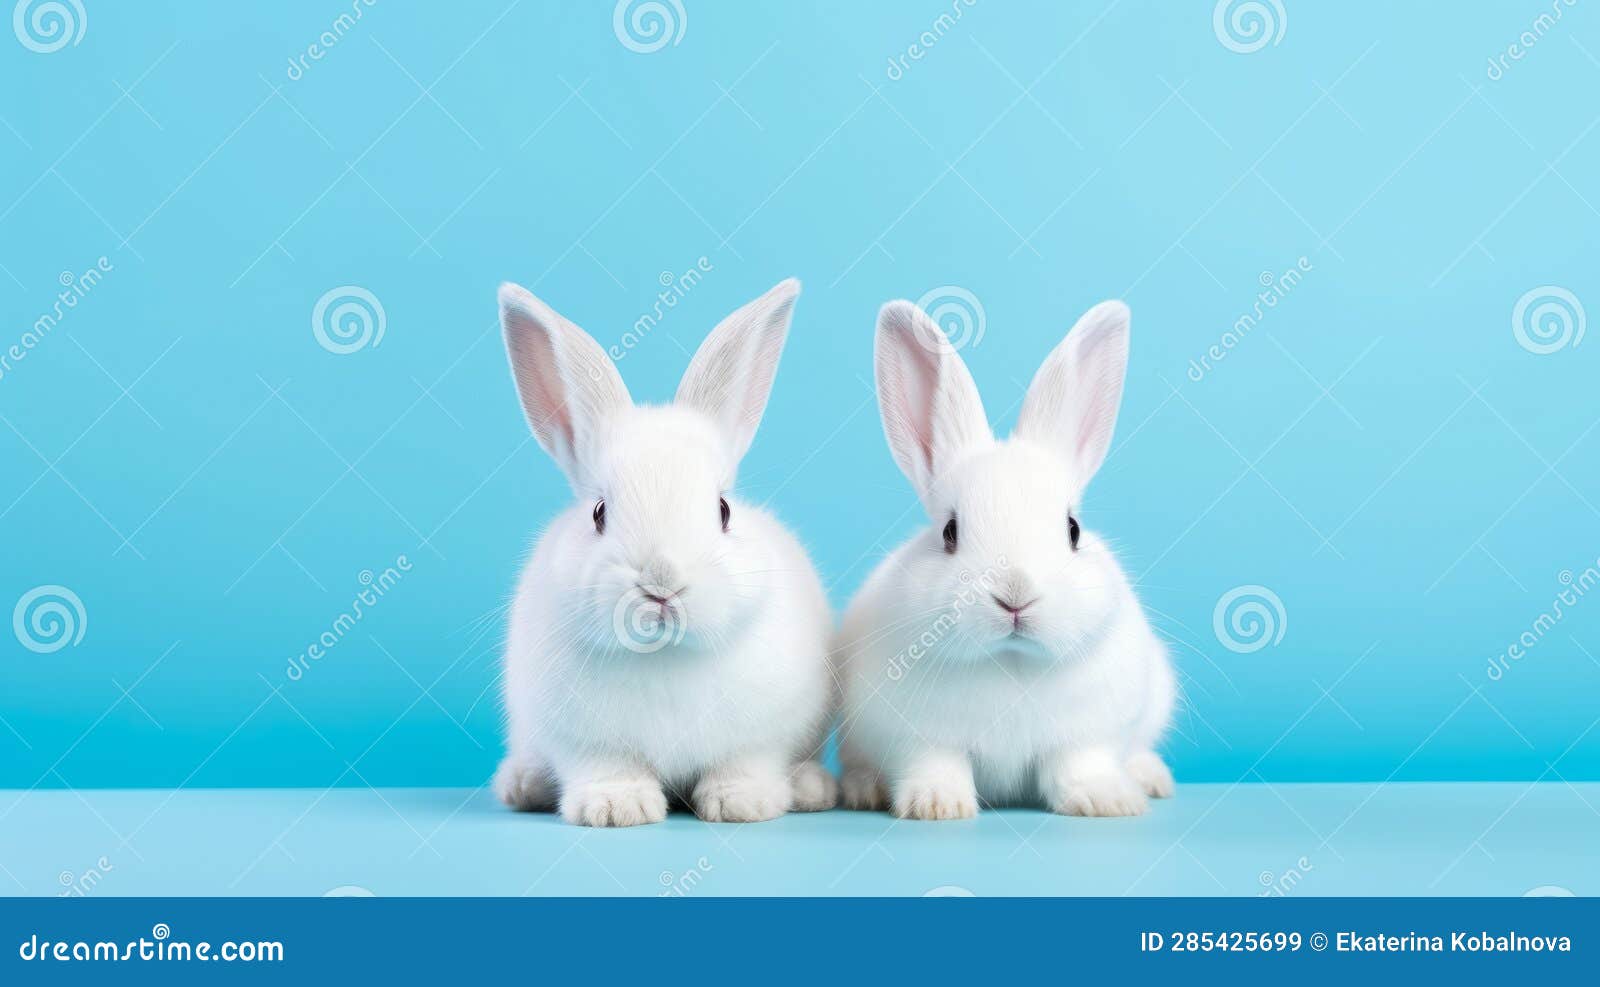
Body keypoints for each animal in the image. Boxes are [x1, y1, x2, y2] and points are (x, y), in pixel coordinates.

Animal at [491, 278, 838, 827]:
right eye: (599, 512)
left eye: (723, 510)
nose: (661, 581)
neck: (666, 657)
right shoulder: (583, 742)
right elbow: (606, 768)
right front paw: (616, 808)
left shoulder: (763, 735)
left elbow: (745, 764)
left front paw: (742, 803)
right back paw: (523, 785)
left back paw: (810, 789)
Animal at [836, 297, 1175, 820]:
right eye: (950, 532)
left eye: (1073, 530)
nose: (1016, 595)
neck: (1009, 662)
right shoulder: (919, 739)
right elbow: (936, 765)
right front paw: (937, 805)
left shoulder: (1087, 735)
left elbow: (1082, 764)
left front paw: (1105, 801)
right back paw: (862, 789)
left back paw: (1149, 778)